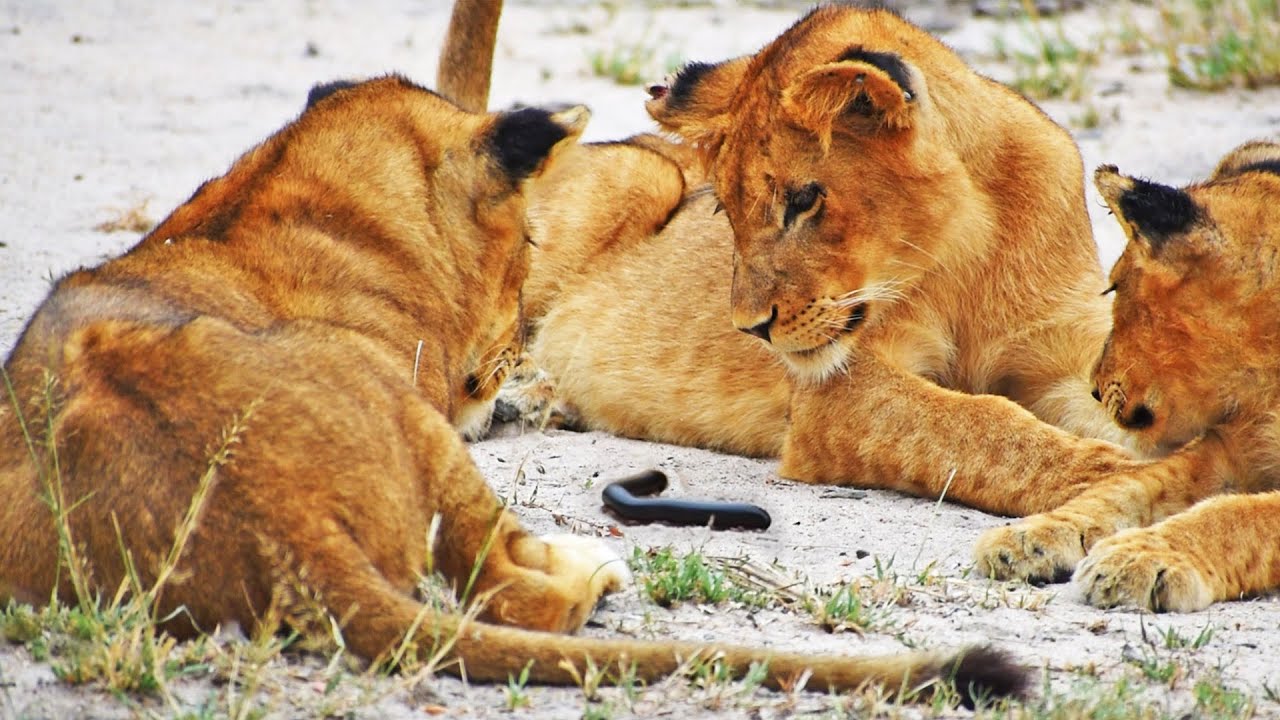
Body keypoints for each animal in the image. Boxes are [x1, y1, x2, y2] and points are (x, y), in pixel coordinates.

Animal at [0, 73, 1026, 699]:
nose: (507, 372)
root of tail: (280, 526)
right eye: (526, 241)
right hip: (413, 421)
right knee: (517, 594)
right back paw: (596, 570)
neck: (279, 204)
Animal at [443, 4, 1144, 518]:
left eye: (803, 200)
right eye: (724, 209)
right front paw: (1121, 476)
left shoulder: (1066, 361)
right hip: (638, 175)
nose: (750, 329)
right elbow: (985, 426)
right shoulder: (835, 396)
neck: (966, 249)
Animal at [969, 141, 1280, 609]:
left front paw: (1144, 558)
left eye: (1114, 287)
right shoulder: (1225, 449)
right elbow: (1124, 489)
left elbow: (1238, 515)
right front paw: (1032, 537)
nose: (1095, 390)